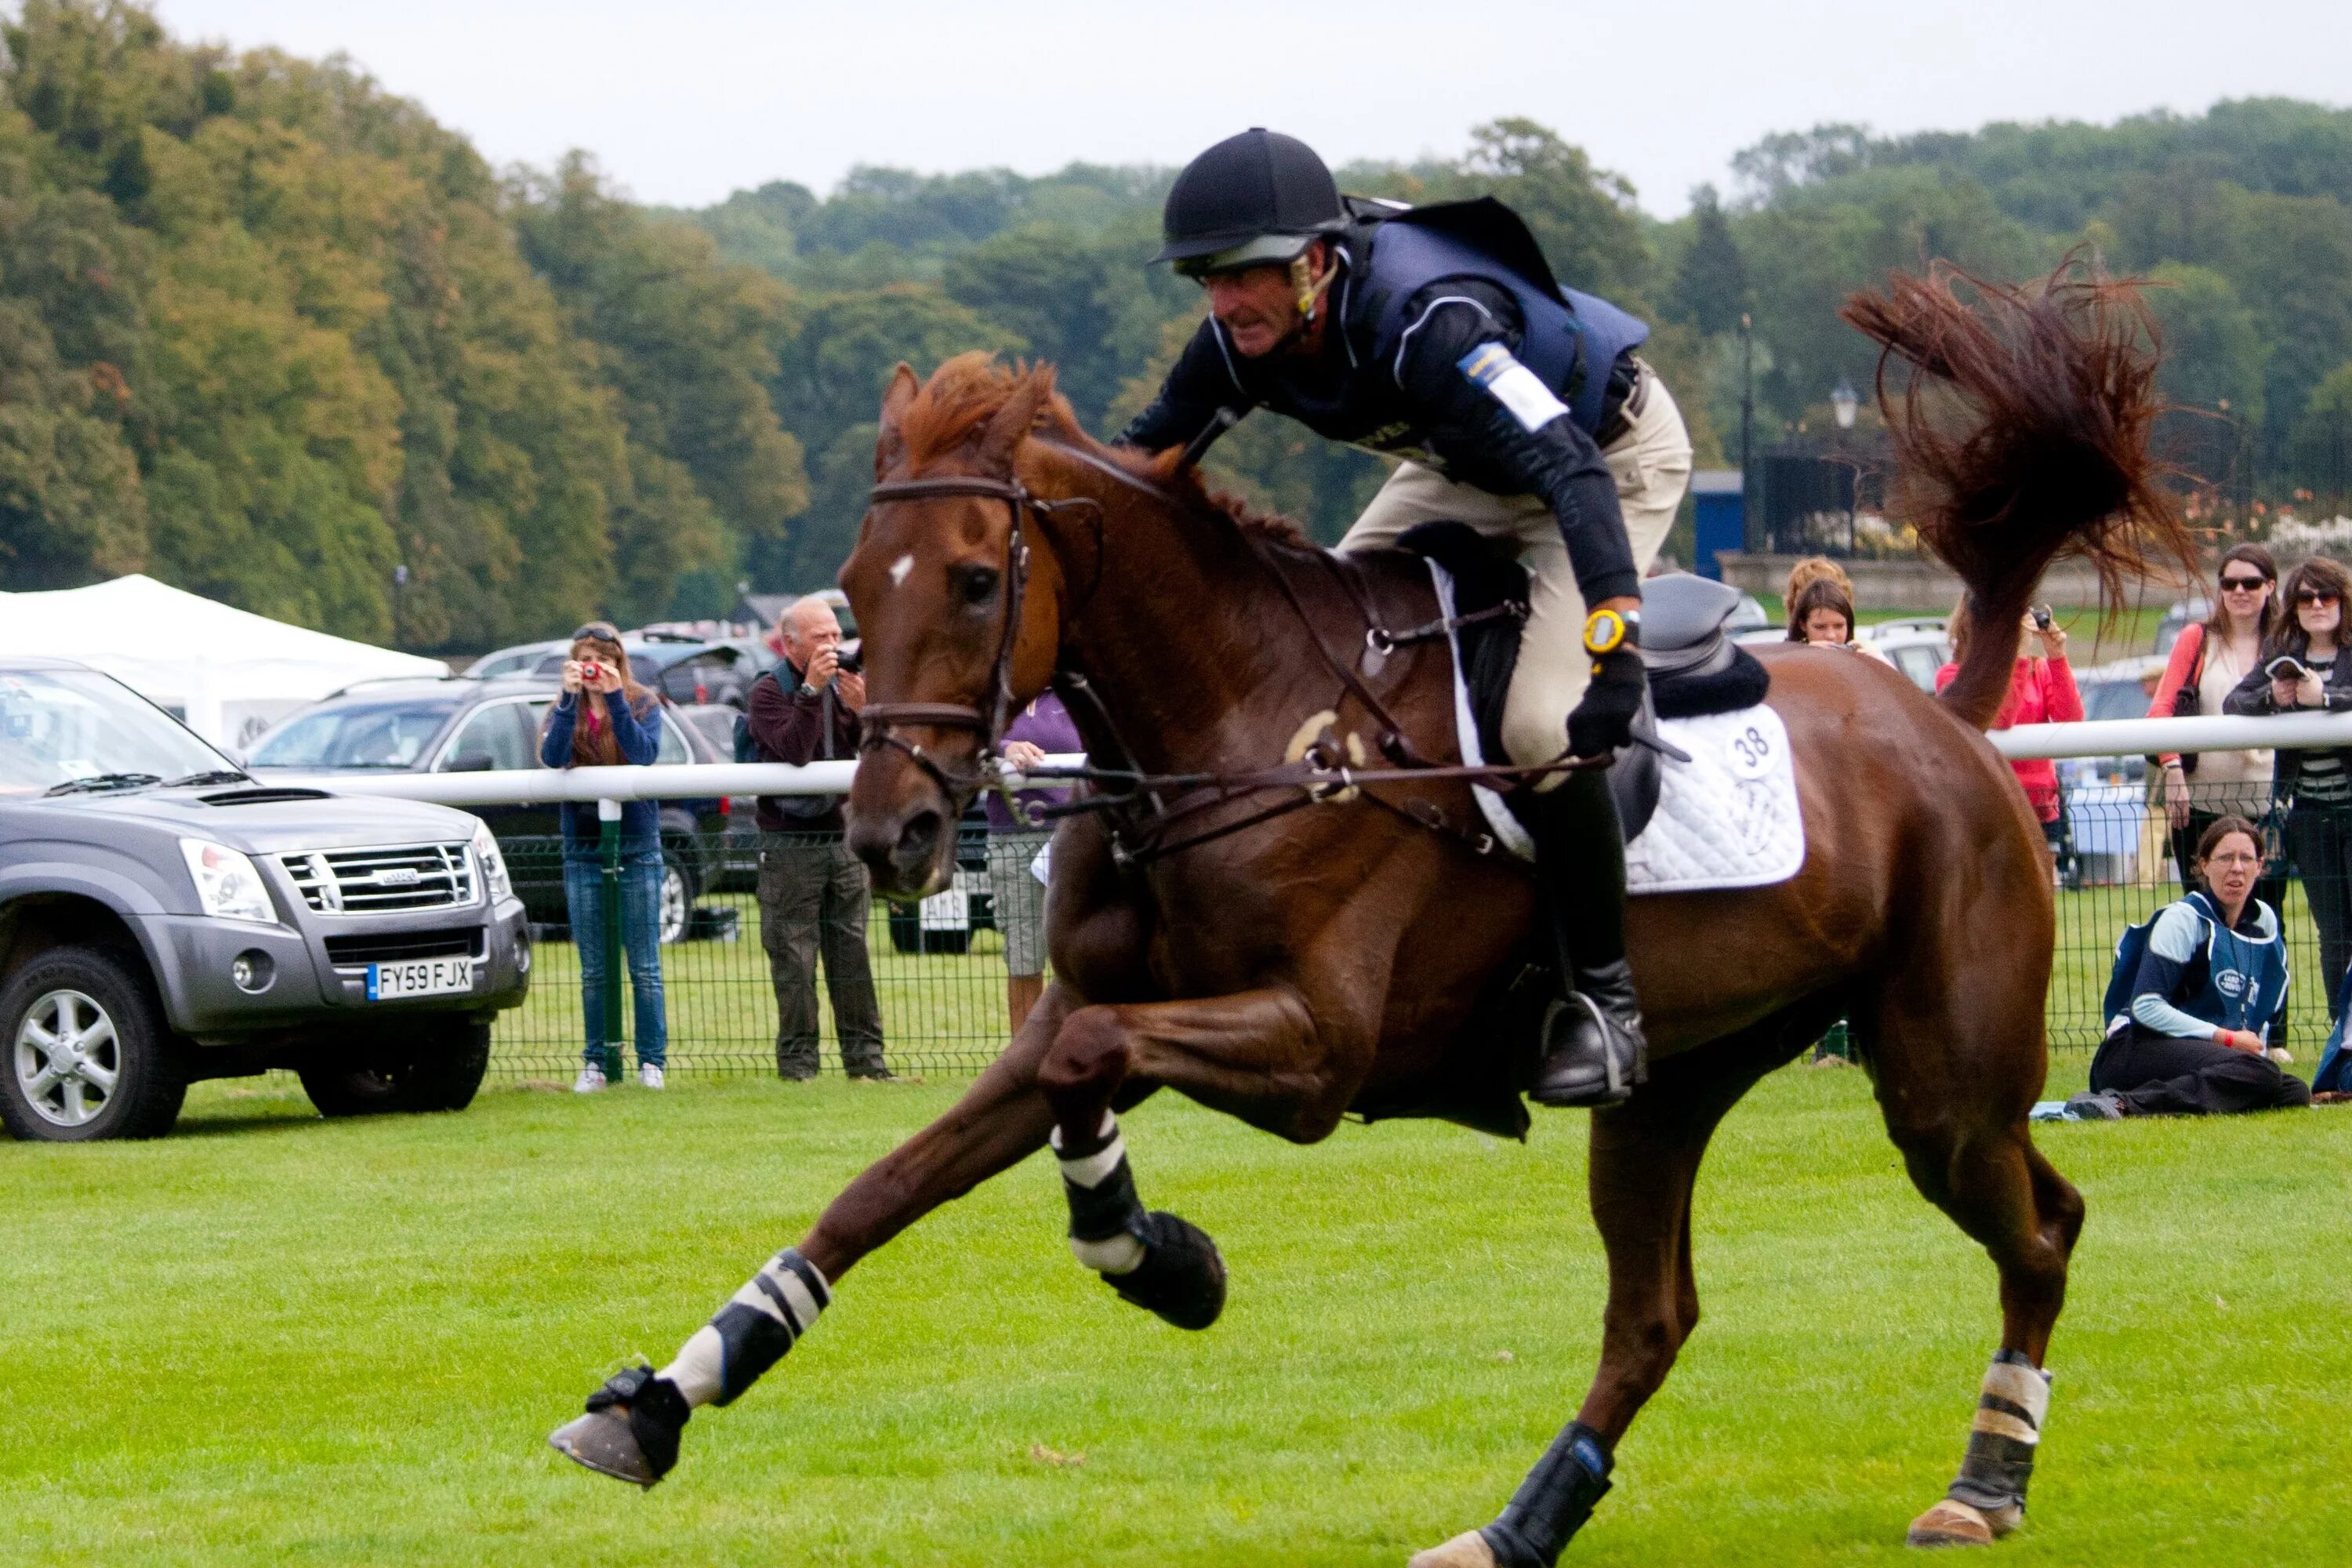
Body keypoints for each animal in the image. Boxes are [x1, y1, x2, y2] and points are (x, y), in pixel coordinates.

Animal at [550, 263, 2183, 1561]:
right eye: (847, 585)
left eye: (967, 577)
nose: (889, 834)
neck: (1235, 722)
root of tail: (1948, 719)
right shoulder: (1080, 1010)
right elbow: (895, 1181)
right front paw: (664, 1399)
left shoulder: (1316, 1054)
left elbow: (1091, 1075)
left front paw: (1159, 1259)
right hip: (1673, 1089)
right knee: (1653, 1316)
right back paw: (1517, 1528)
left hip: (1940, 1078)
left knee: (2040, 1227)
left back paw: (1986, 1479)